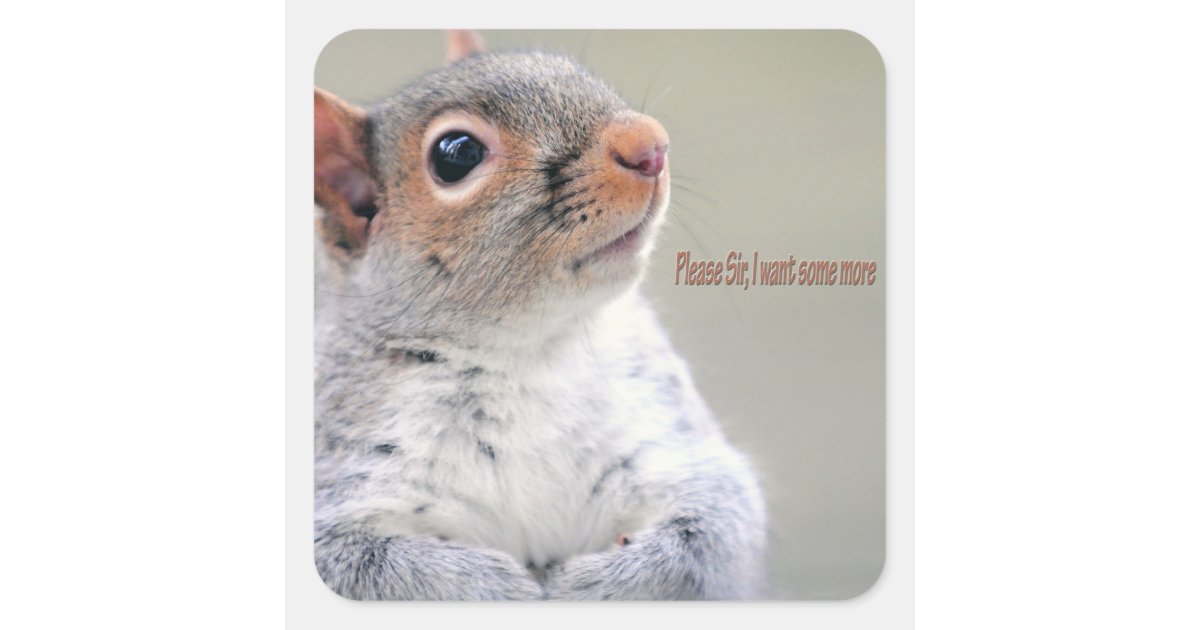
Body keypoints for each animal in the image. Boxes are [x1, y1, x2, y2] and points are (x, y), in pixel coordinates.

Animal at [313, 30, 767, 600]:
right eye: (456, 154)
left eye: (568, 67)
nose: (650, 144)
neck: (525, 352)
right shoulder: (341, 476)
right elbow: (363, 568)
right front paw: (495, 589)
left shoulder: (670, 439)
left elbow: (716, 529)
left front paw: (592, 587)